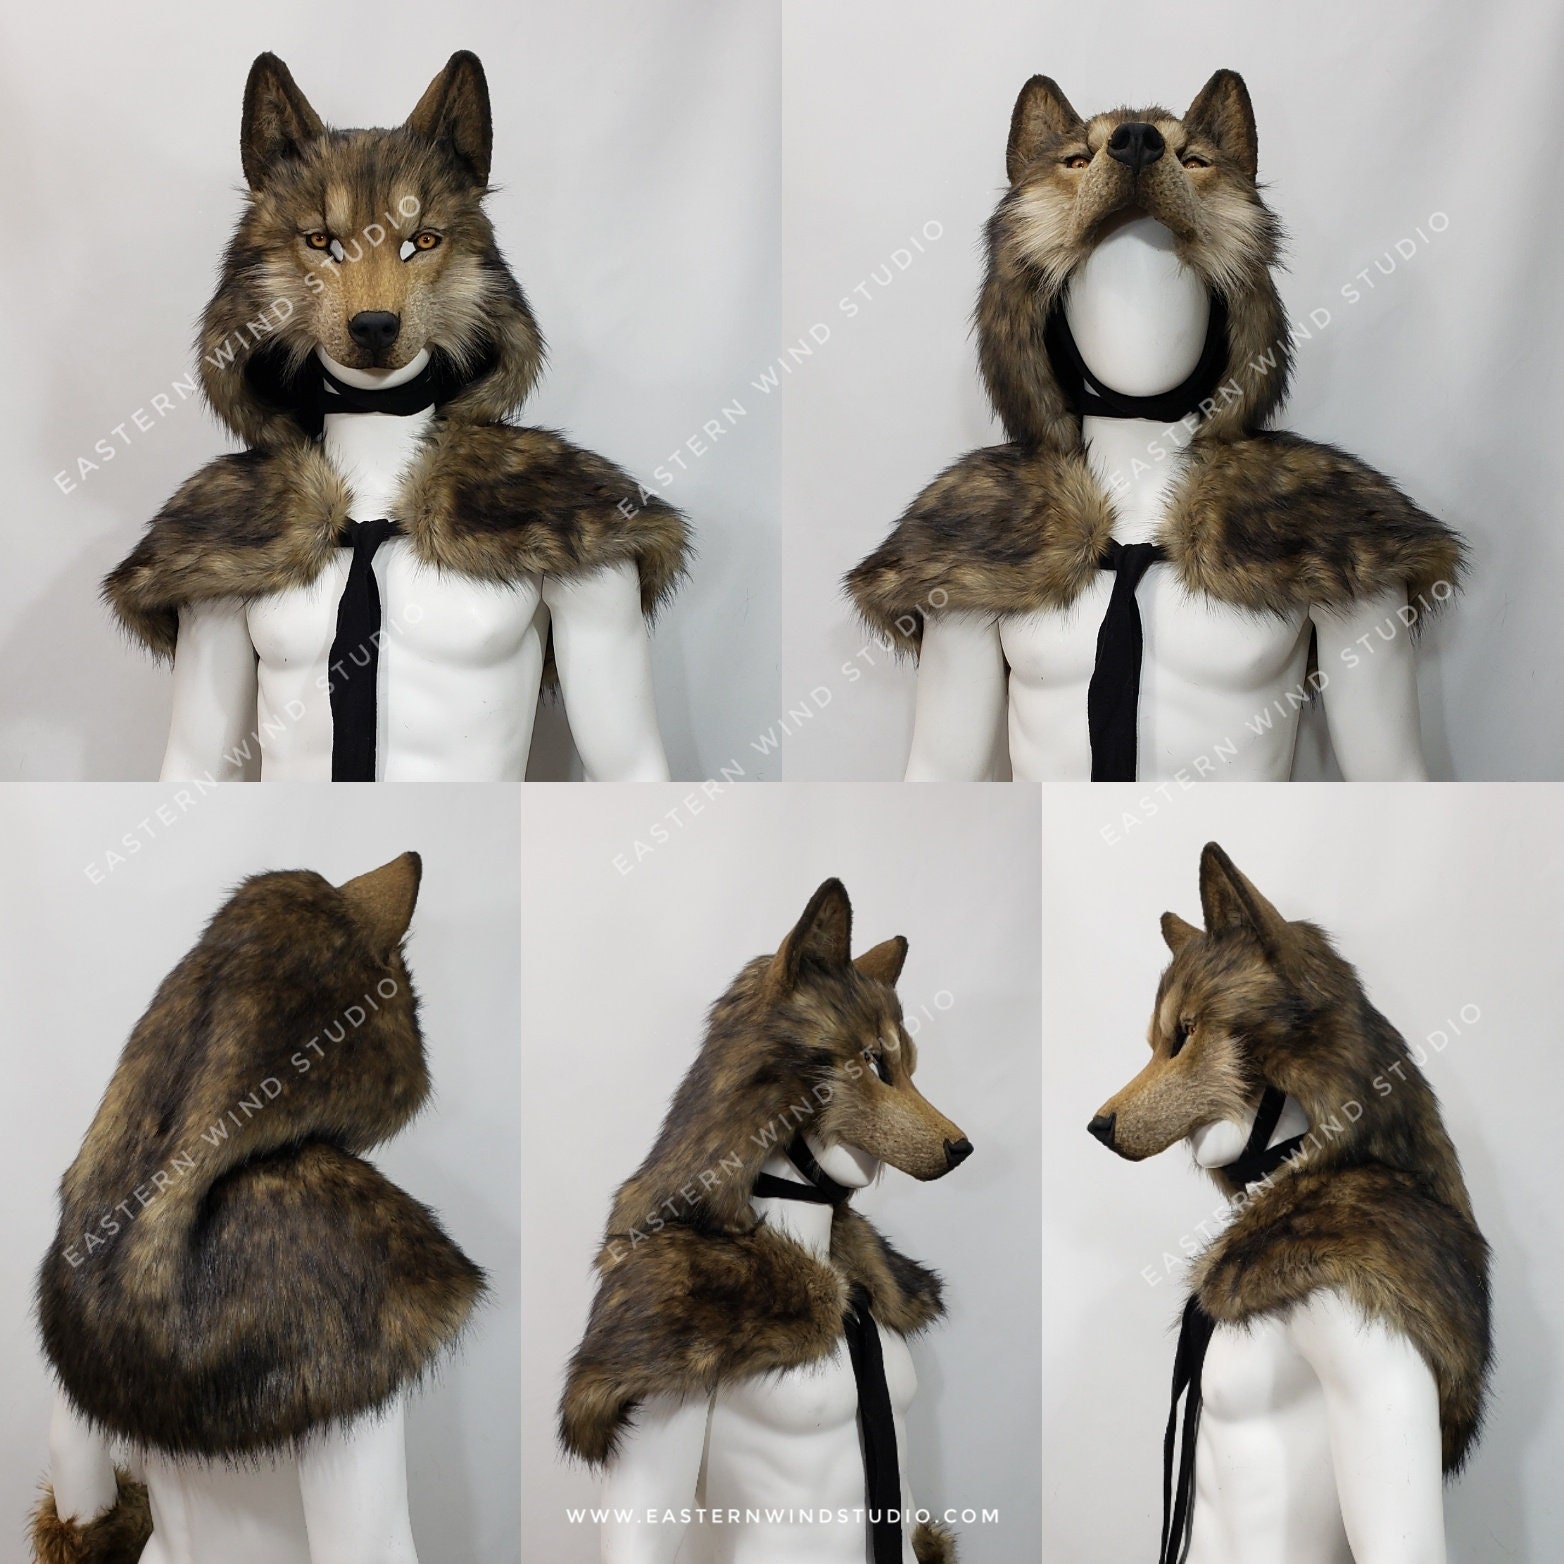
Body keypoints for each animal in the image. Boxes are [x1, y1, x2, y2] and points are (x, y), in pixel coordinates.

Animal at [105, 52, 688, 782]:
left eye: (422, 242)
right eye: (322, 242)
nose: (376, 326)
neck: (378, 477)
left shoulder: (604, 565)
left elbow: (628, 761)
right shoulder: (199, 577)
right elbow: (194, 759)